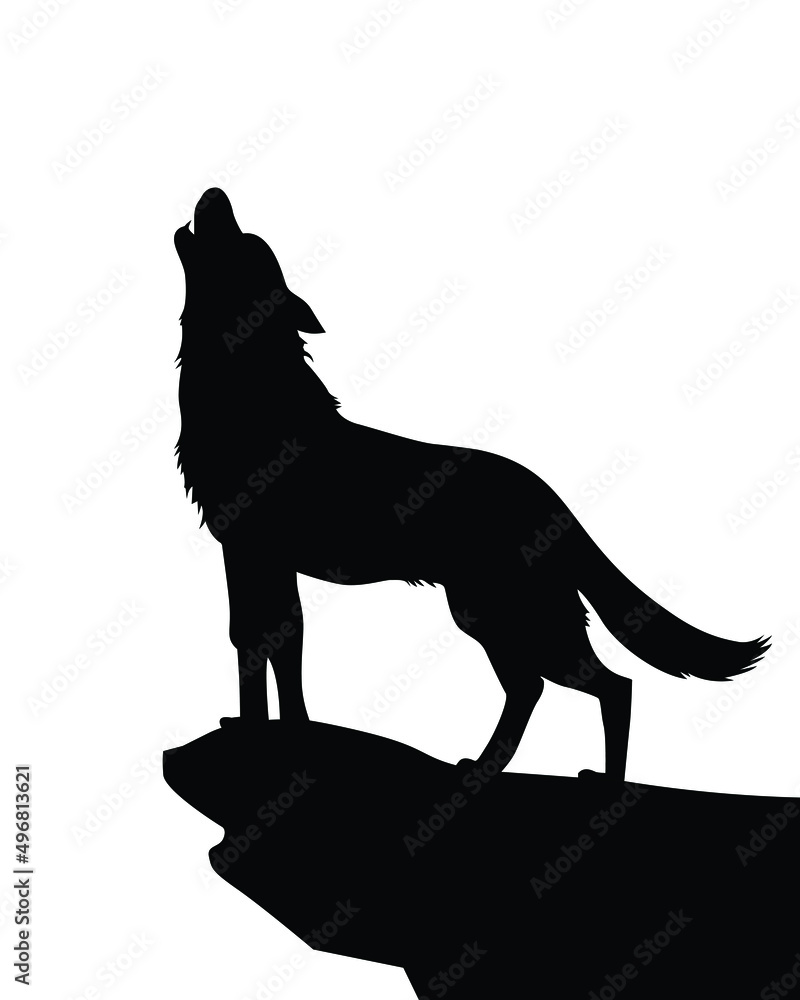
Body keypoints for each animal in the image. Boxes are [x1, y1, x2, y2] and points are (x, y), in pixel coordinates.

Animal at [174, 188, 768, 777]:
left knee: (609, 686)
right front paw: (265, 729)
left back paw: (600, 782)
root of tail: (554, 500)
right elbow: (266, 641)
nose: (215, 192)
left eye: (245, 245)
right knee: (534, 688)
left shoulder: (256, 552)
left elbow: (267, 642)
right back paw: (483, 768)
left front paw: (270, 737)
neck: (252, 396)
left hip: (515, 614)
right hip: (487, 615)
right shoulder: (253, 556)